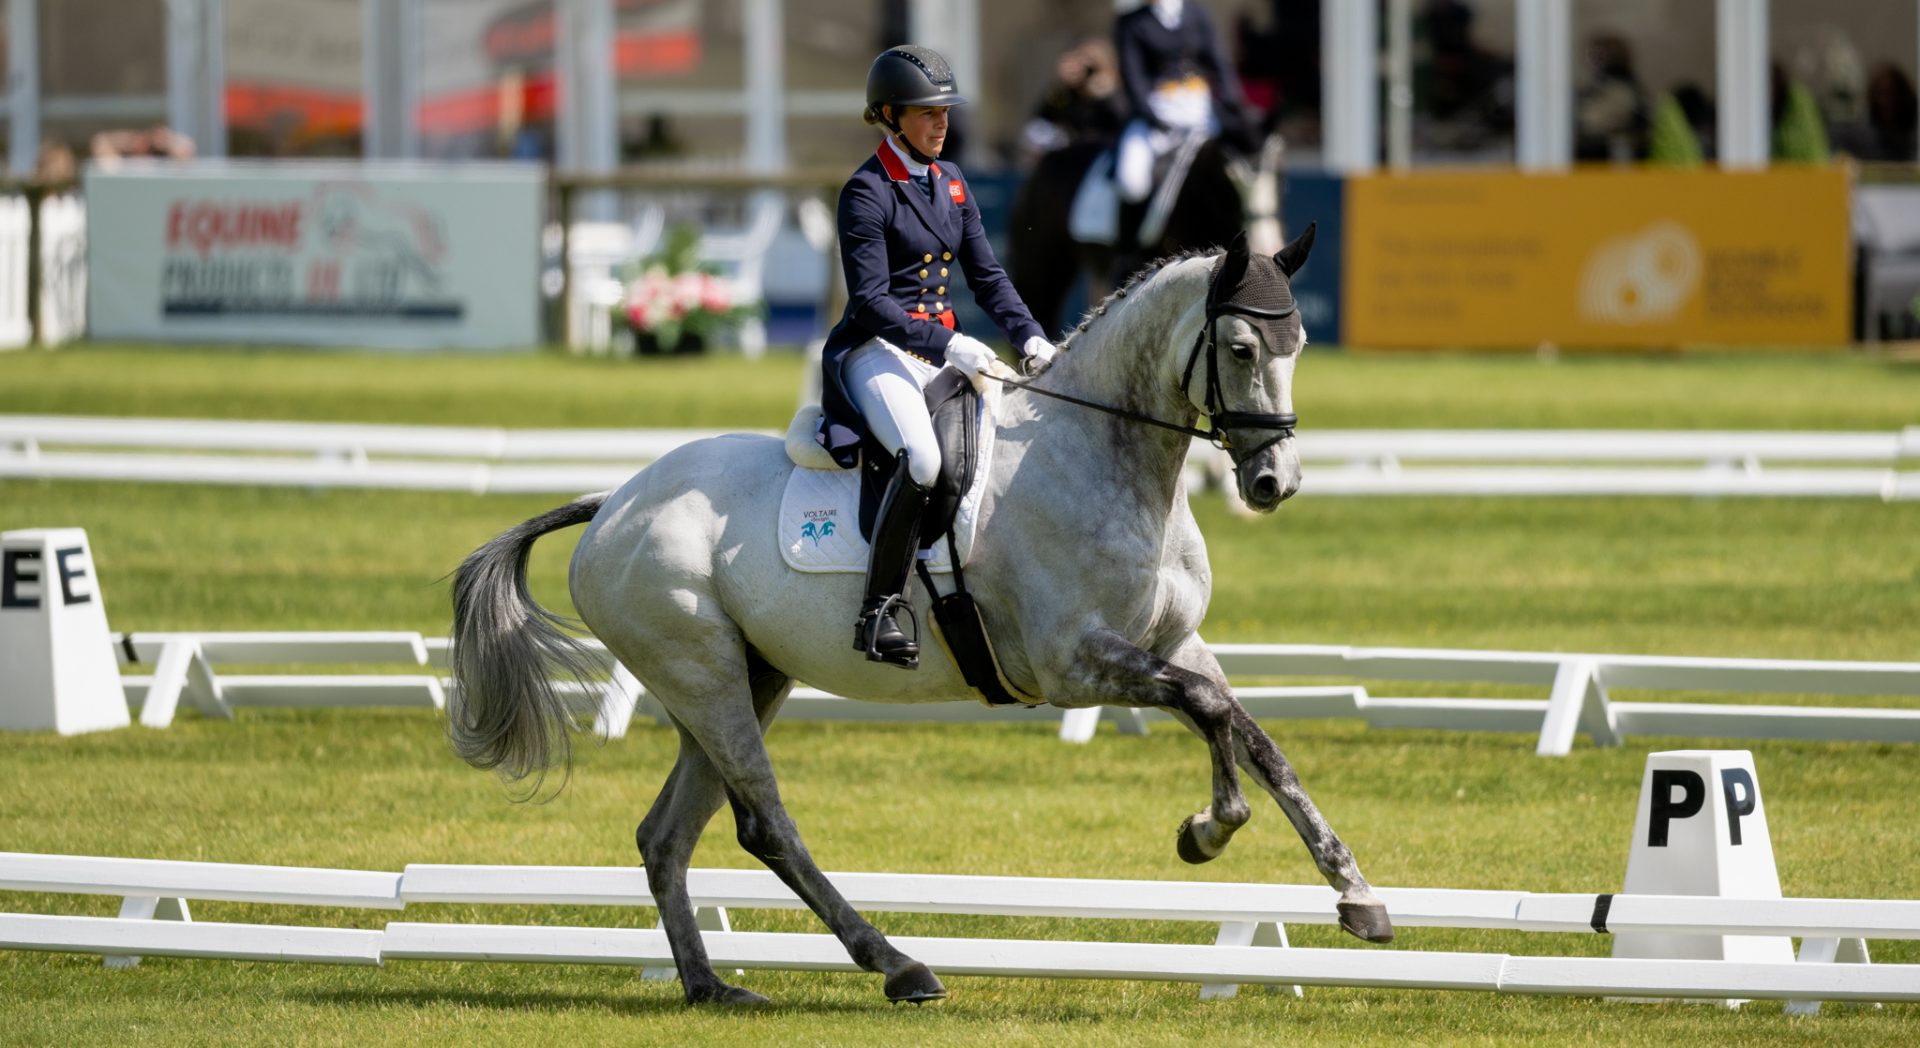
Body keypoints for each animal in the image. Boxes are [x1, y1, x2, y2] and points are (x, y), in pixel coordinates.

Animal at [447, 227, 1392, 1007]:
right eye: (1239, 346)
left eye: (1299, 345)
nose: (1274, 484)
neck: (1102, 457)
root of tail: (613, 503)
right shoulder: (1073, 663)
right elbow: (1210, 713)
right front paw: (1208, 831)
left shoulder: (1176, 644)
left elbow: (1252, 734)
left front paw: (1357, 895)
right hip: (702, 673)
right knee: (763, 821)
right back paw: (898, 965)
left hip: (748, 678)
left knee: (665, 837)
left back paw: (712, 987)